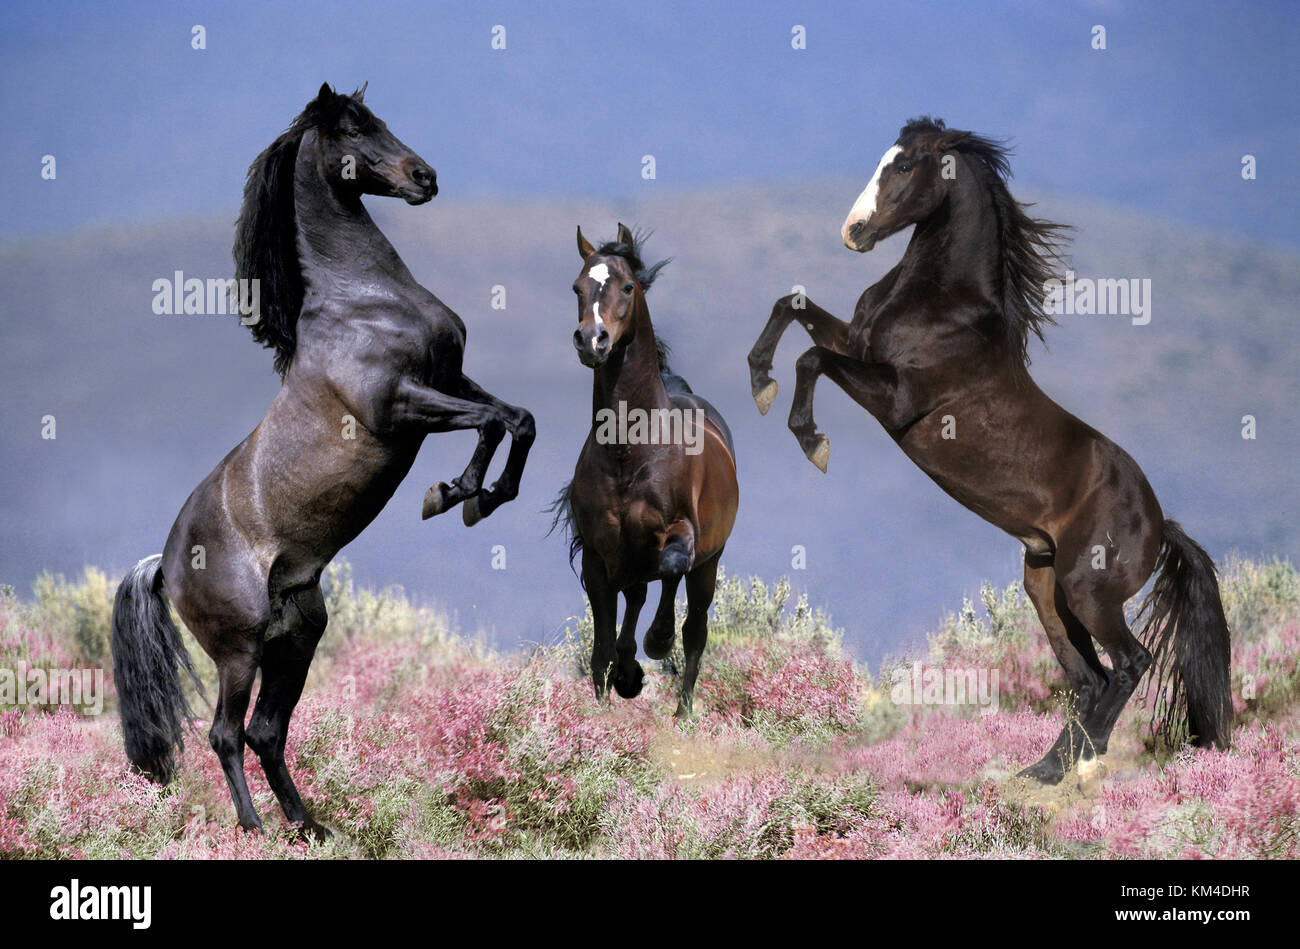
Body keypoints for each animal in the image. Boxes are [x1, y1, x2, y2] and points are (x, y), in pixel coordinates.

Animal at [109, 83, 535, 836]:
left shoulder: (451, 379)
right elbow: (493, 422)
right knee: (226, 734)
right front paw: (454, 493)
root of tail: (163, 565)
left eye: (382, 119)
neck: (360, 297)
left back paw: (310, 826)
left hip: (298, 638)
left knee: (265, 732)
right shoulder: (400, 405)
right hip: (241, 648)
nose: (424, 177)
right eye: (352, 128)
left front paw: (478, 498)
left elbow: (518, 419)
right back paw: (254, 829)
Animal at [553, 224, 739, 717]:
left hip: (709, 564)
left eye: (627, 287)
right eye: (577, 287)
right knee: (635, 601)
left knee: (694, 629)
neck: (629, 451)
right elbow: (601, 647)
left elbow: (671, 568)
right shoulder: (598, 558)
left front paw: (655, 645)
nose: (592, 340)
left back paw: (683, 712)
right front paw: (610, 698)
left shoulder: (681, 534)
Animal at [746, 118, 1232, 784]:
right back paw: (1044, 769)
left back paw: (1079, 766)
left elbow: (812, 357)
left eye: (906, 166)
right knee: (1090, 677)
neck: (942, 305)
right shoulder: (857, 345)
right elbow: (790, 307)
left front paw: (811, 440)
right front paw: (758, 381)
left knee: (1130, 664)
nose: (853, 232)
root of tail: (1162, 526)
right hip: (1047, 588)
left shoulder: (895, 398)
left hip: (1089, 592)